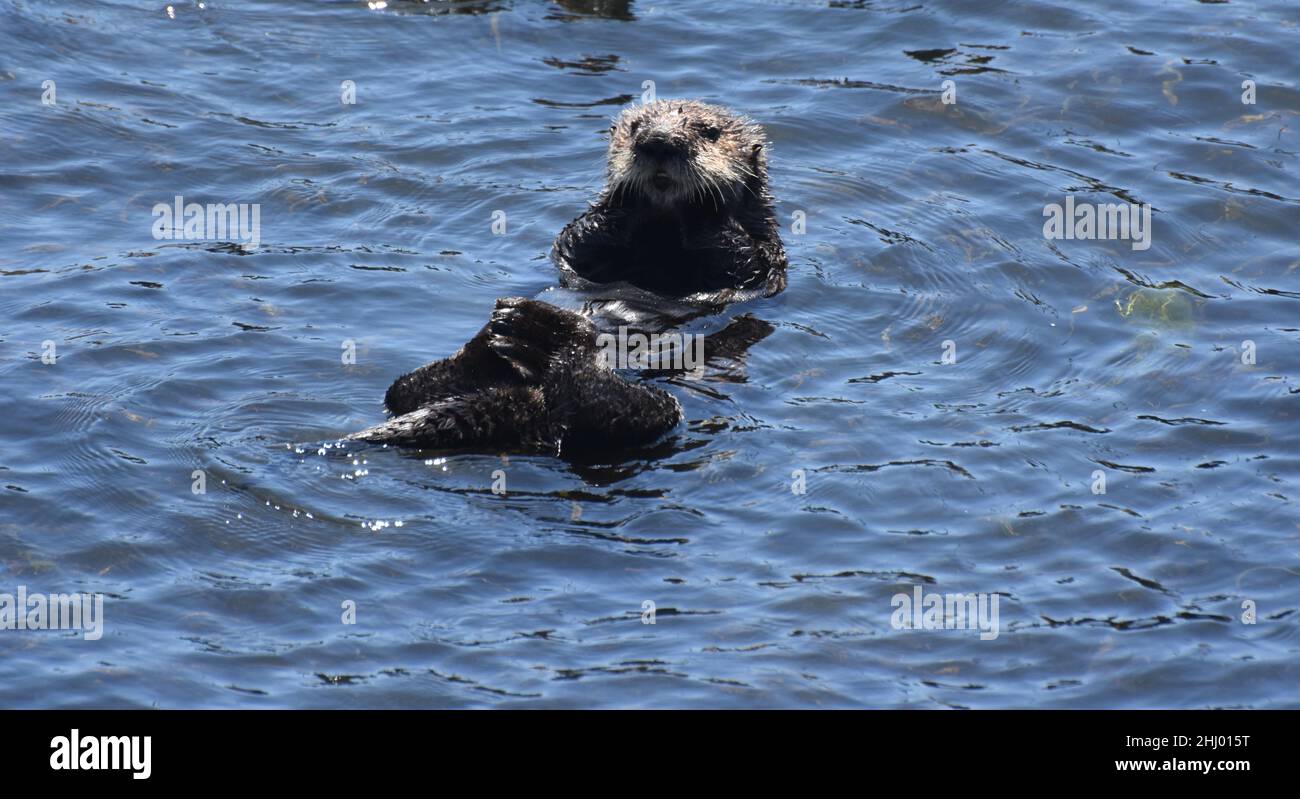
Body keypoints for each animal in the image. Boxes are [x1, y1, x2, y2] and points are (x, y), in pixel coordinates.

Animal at [350, 100, 786, 453]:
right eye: (635, 127)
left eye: (709, 132)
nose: (658, 141)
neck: (659, 236)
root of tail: (535, 397)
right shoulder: (578, 249)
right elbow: (577, 239)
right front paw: (626, 199)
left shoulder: (764, 261)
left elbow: (741, 257)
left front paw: (701, 204)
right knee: (405, 390)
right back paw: (499, 334)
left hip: (661, 409)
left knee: (607, 403)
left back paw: (549, 333)